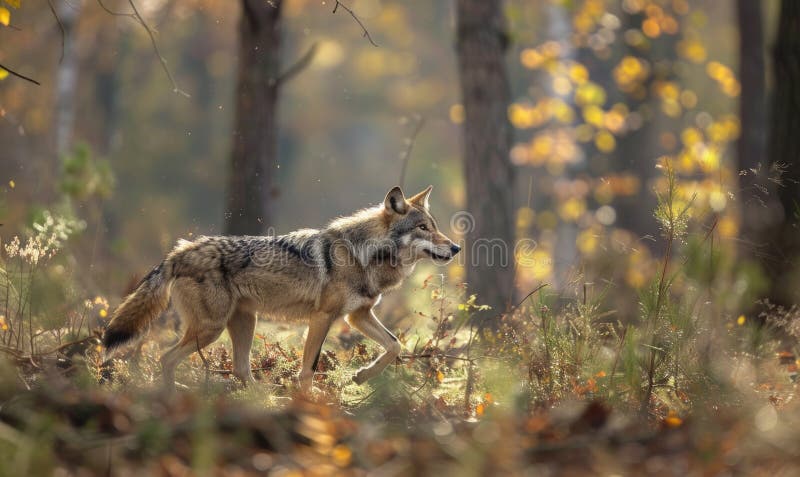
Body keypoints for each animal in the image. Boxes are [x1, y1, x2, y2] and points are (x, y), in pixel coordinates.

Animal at [102, 186, 460, 390]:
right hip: (210, 329)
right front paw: (310, 402)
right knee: (166, 358)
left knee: (239, 370)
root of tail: (178, 251)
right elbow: (309, 368)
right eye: (423, 228)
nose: (456, 247)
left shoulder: (357, 316)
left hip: (243, 323)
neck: (365, 254)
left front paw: (362, 376)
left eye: (434, 226)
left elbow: (395, 345)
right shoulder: (324, 317)